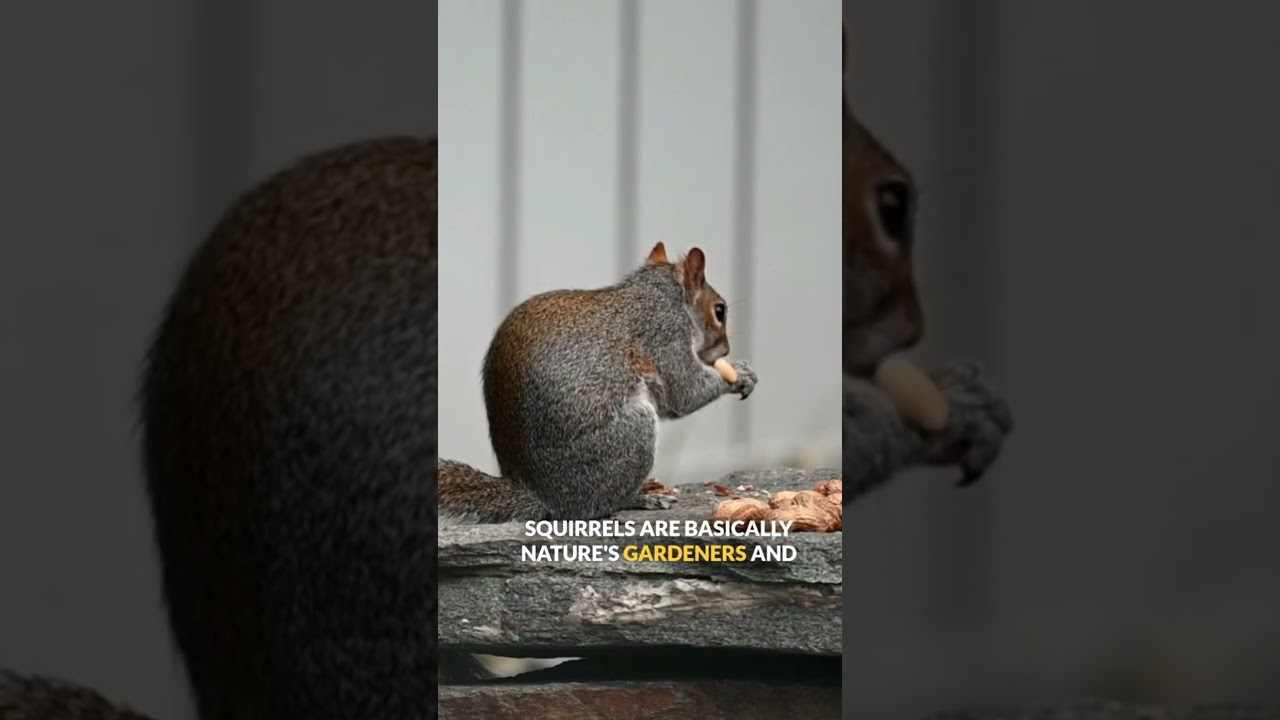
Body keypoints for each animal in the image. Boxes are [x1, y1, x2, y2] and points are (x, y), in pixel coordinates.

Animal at [438, 241, 758, 525]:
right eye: (720, 310)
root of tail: (543, 496)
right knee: (595, 506)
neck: (660, 293)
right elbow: (685, 392)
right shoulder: (666, 333)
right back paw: (639, 498)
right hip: (630, 436)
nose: (725, 350)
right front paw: (740, 375)